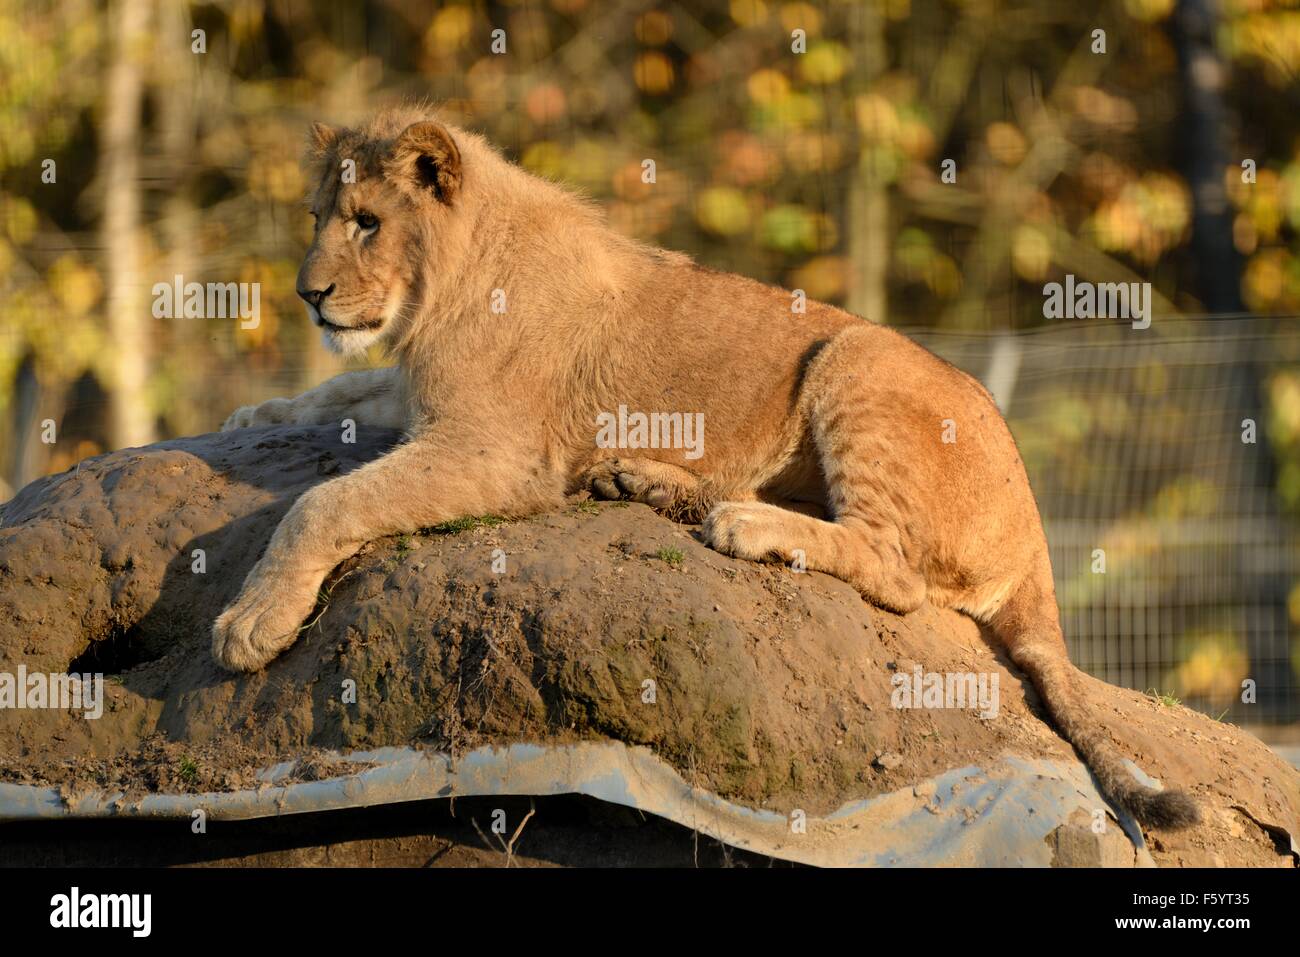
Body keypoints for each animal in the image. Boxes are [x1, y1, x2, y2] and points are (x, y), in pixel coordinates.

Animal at [215, 106, 1198, 830]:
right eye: (318, 220)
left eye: (367, 224)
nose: (307, 294)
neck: (442, 288)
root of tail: (1036, 534)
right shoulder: (427, 402)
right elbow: (342, 394)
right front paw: (252, 412)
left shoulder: (496, 450)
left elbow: (325, 502)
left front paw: (251, 620)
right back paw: (642, 480)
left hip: (857, 356)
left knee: (891, 567)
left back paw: (741, 524)